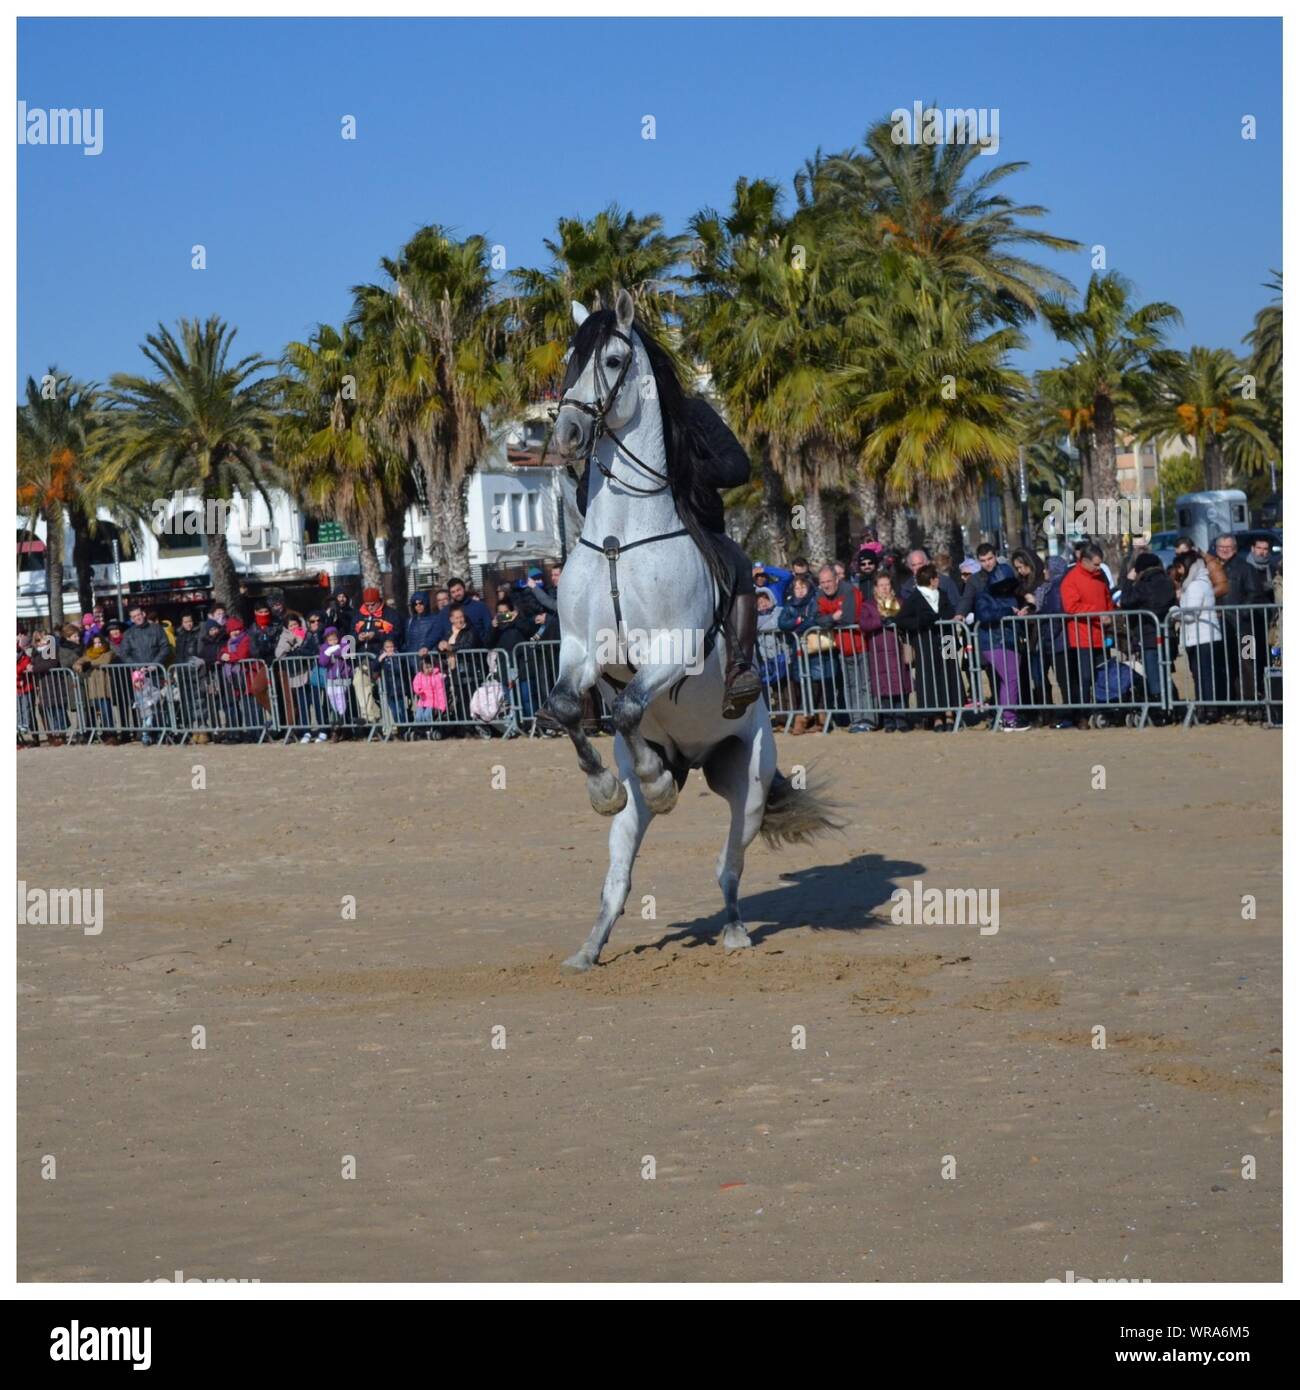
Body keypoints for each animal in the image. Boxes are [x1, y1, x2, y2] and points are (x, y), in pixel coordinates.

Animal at [543, 289, 838, 973]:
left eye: (614, 359)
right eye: (570, 360)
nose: (567, 435)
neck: (622, 536)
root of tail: (699, 759)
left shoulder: (673, 651)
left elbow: (626, 704)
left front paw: (653, 780)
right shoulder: (580, 652)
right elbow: (573, 706)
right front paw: (608, 786)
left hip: (746, 784)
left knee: (728, 868)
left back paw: (732, 930)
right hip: (647, 819)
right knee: (618, 878)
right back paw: (589, 947)